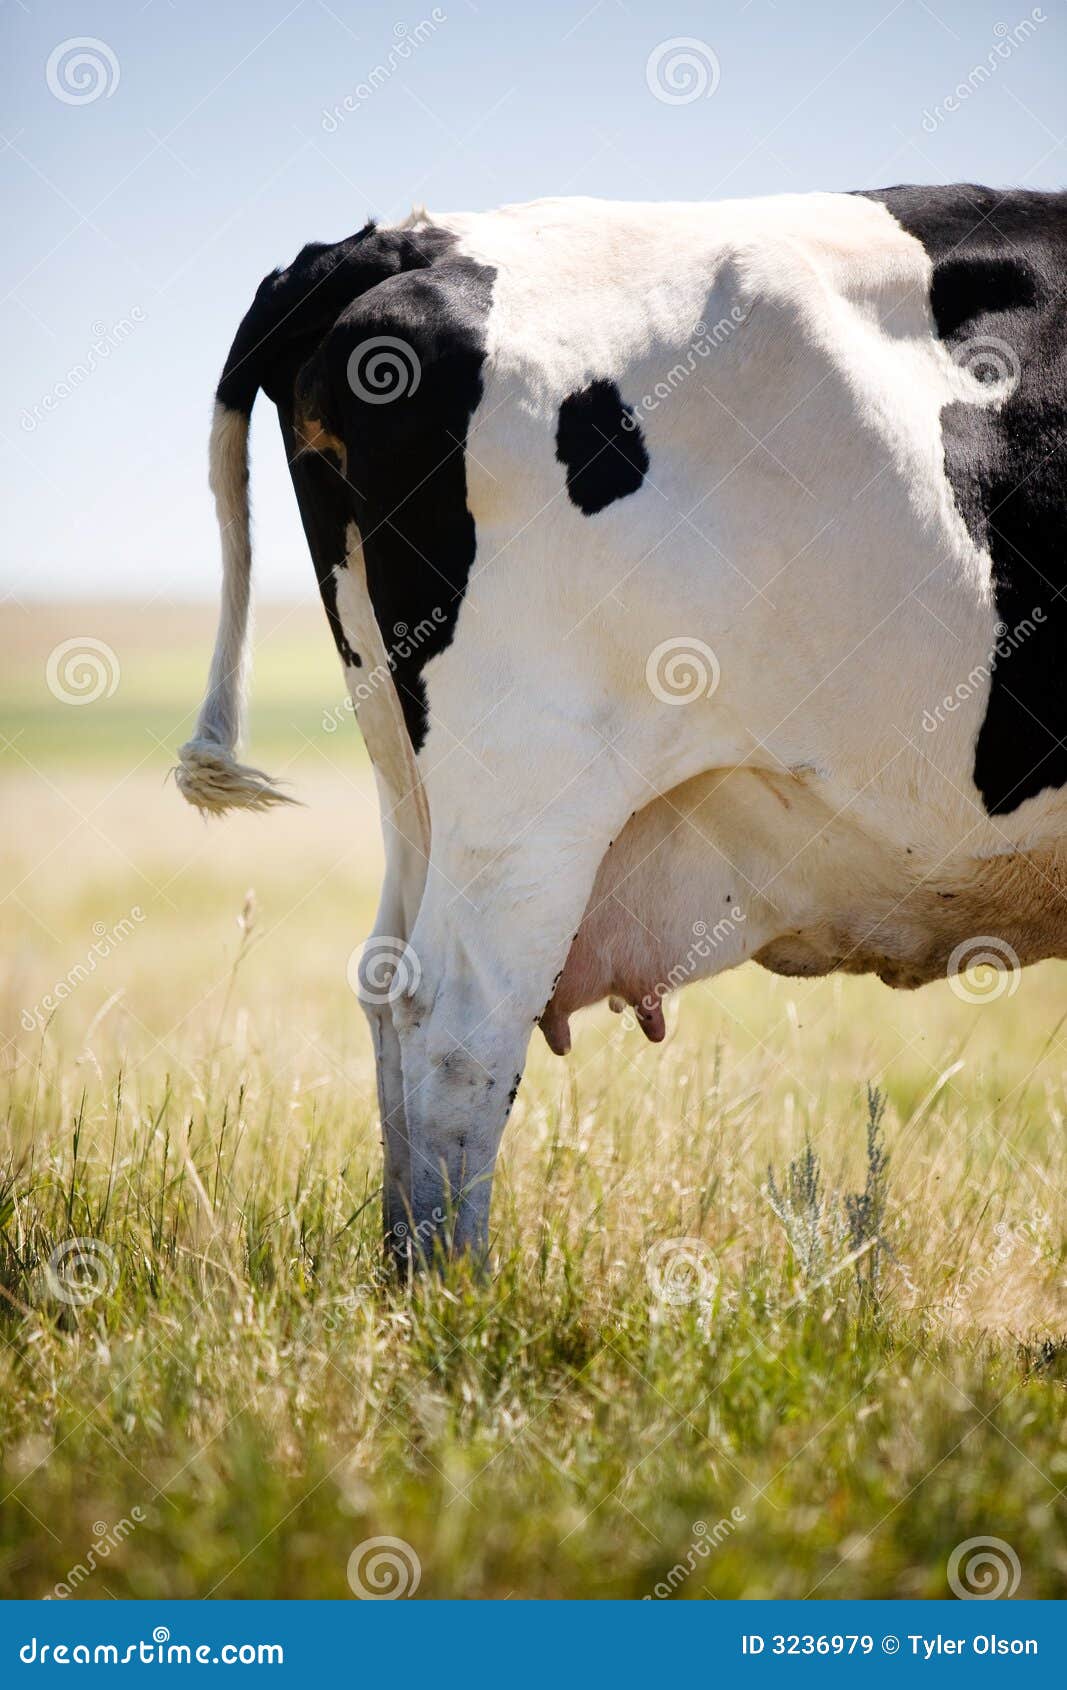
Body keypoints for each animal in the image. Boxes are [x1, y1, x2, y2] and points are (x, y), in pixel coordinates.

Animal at [177, 184, 1067, 1266]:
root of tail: (408, 235)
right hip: (531, 791)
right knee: (455, 1022)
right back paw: (453, 1287)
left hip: (412, 780)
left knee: (388, 987)